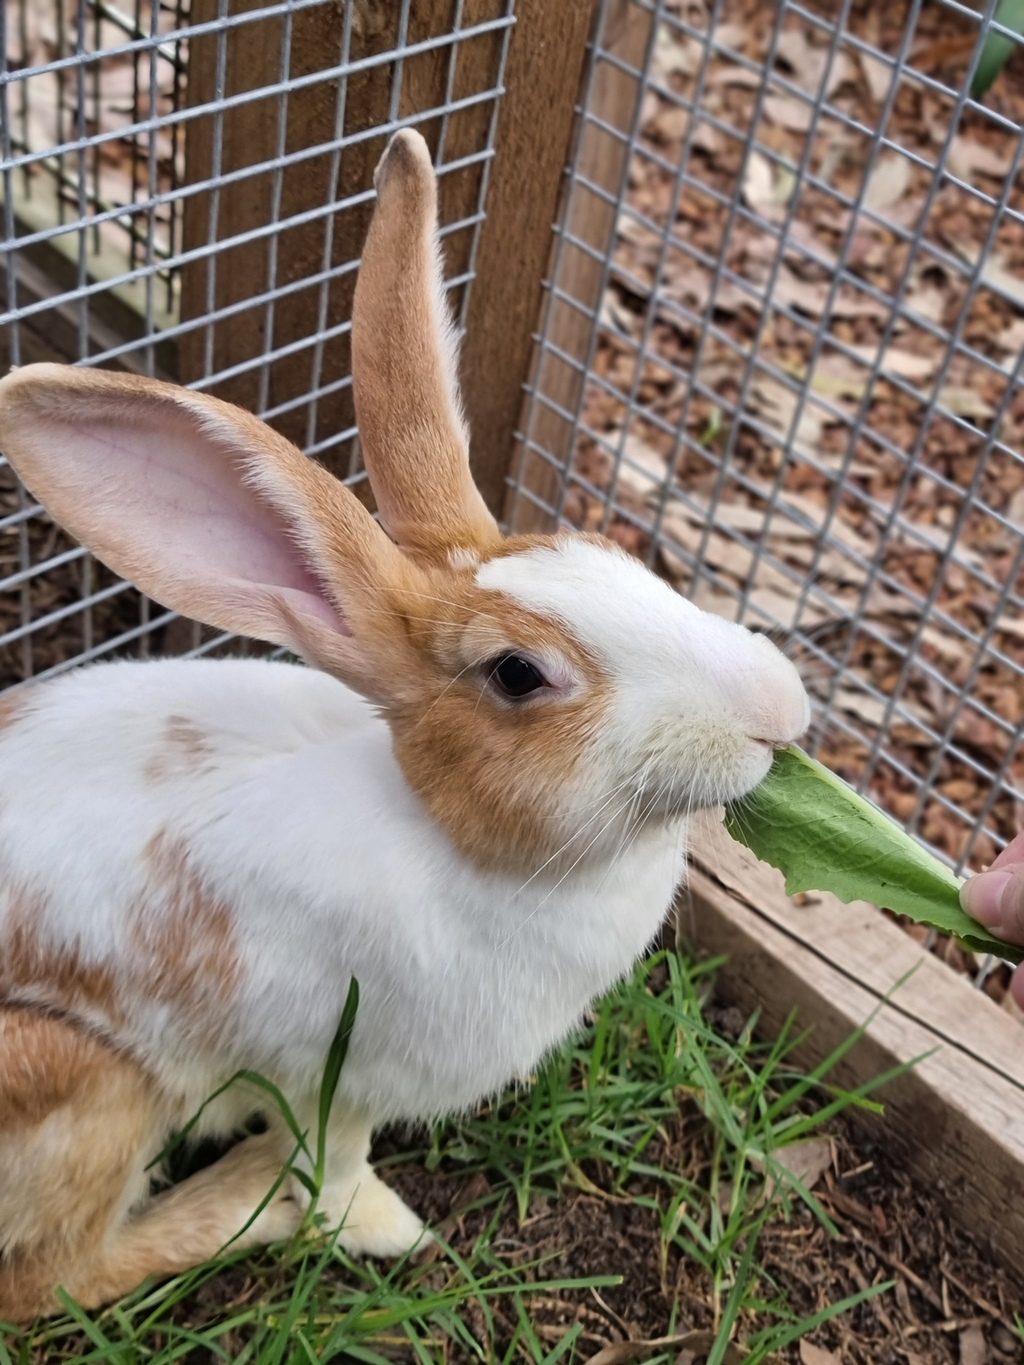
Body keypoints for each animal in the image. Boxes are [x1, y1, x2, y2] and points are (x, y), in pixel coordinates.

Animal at [0, 129, 810, 1321]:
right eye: (518, 674)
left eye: (613, 556)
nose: (775, 709)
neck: (450, 839)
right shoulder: (328, 1076)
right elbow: (334, 1158)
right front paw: (374, 1226)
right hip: (85, 1087)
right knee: (52, 1278)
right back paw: (241, 1203)